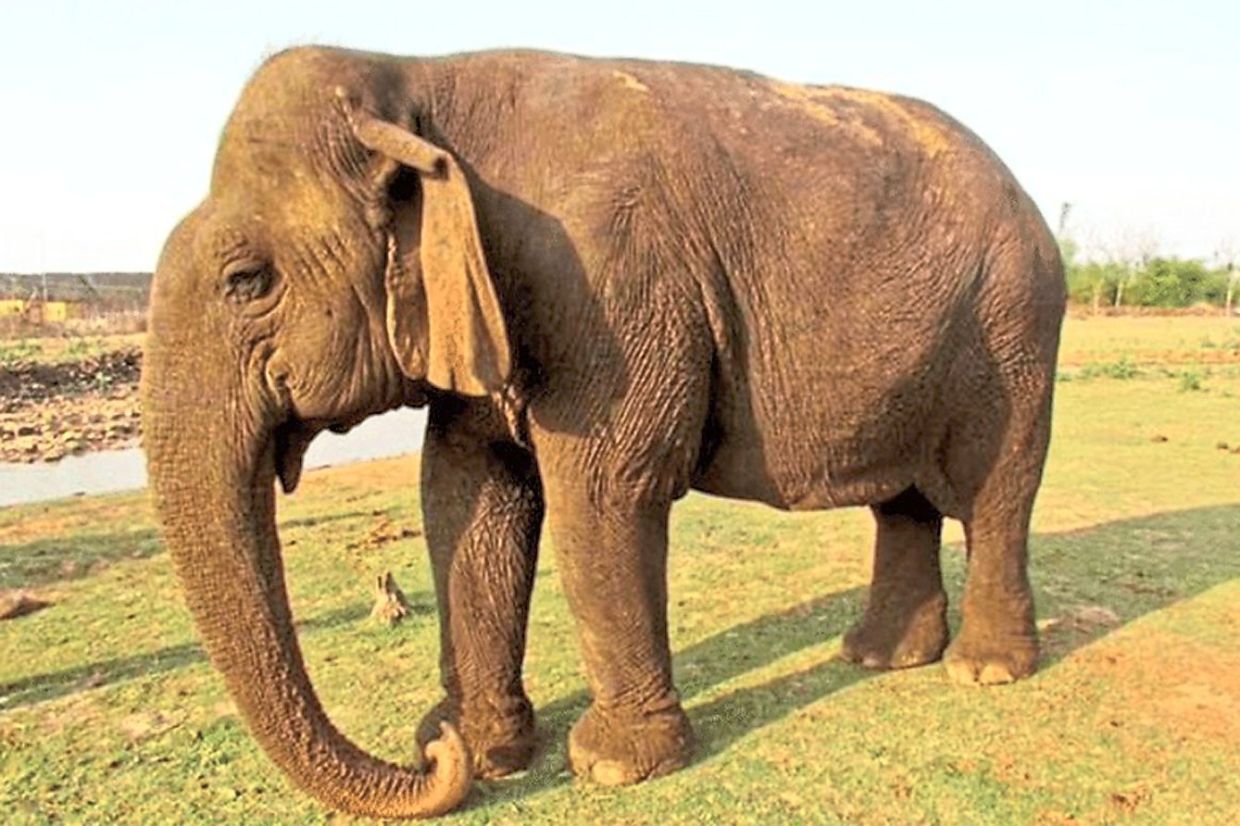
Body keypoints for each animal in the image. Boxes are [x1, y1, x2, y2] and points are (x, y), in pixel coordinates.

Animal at [141, 45, 1065, 818]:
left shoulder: (611, 286)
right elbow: (467, 493)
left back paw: (983, 670)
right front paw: (488, 749)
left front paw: (614, 767)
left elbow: (602, 492)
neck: (419, 78)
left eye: (246, 280)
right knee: (903, 501)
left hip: (1015, 329)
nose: (430, 749)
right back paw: (878, 658)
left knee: (996, 492)